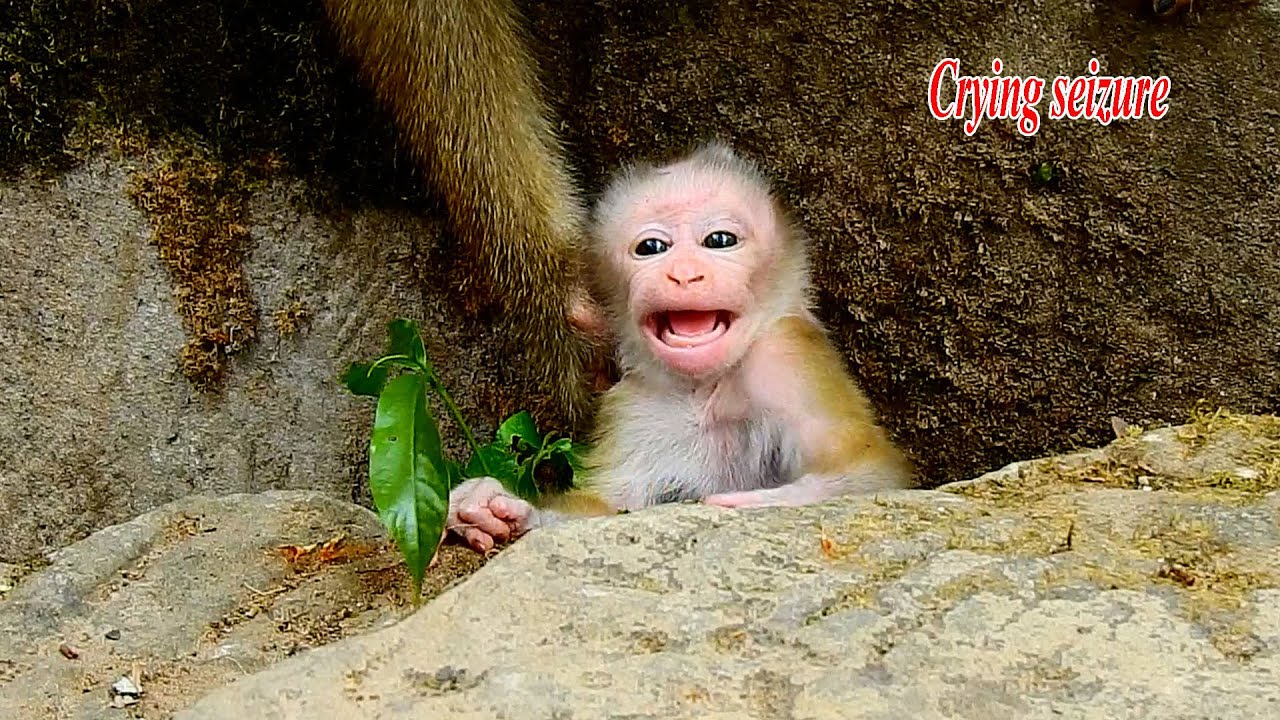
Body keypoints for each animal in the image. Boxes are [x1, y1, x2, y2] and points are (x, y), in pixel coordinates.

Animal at [445, 142, 914, 553]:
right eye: (651, 247)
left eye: (719, 240)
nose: (685, 273)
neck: (705, 390)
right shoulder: (634, 408)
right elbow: (609, 506)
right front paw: (496, 509)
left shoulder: (785, 361)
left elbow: (877, 478)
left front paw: (766, 499)